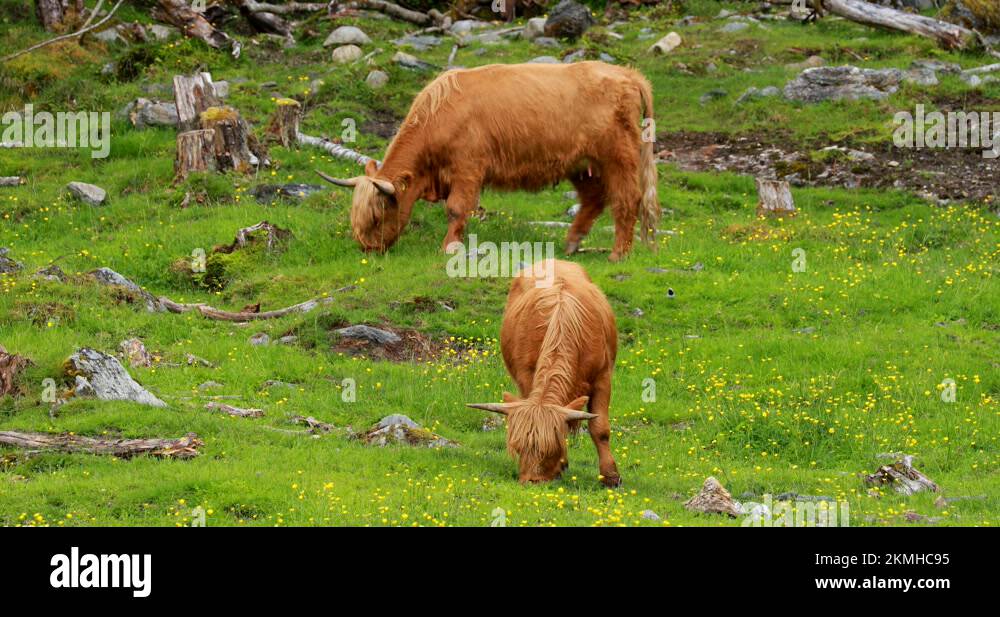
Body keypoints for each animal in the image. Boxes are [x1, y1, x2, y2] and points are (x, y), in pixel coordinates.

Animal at [317, 61, 660, 262]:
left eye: (377, 217)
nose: (367, 248)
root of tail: (628, 75)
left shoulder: (468, 167)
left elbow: (456, 208)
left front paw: (449, 246)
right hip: (580, 163)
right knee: (593, 199)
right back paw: (572, 243)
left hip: (619, 156)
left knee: (627, 199)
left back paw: (618, 254)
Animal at [466, 259, 620, 486]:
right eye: (518, 447)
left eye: (549, 449)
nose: (532, 481)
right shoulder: (525, 375)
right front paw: (562, 465)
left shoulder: (603, 377)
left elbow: (600, 428)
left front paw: (610, 477)